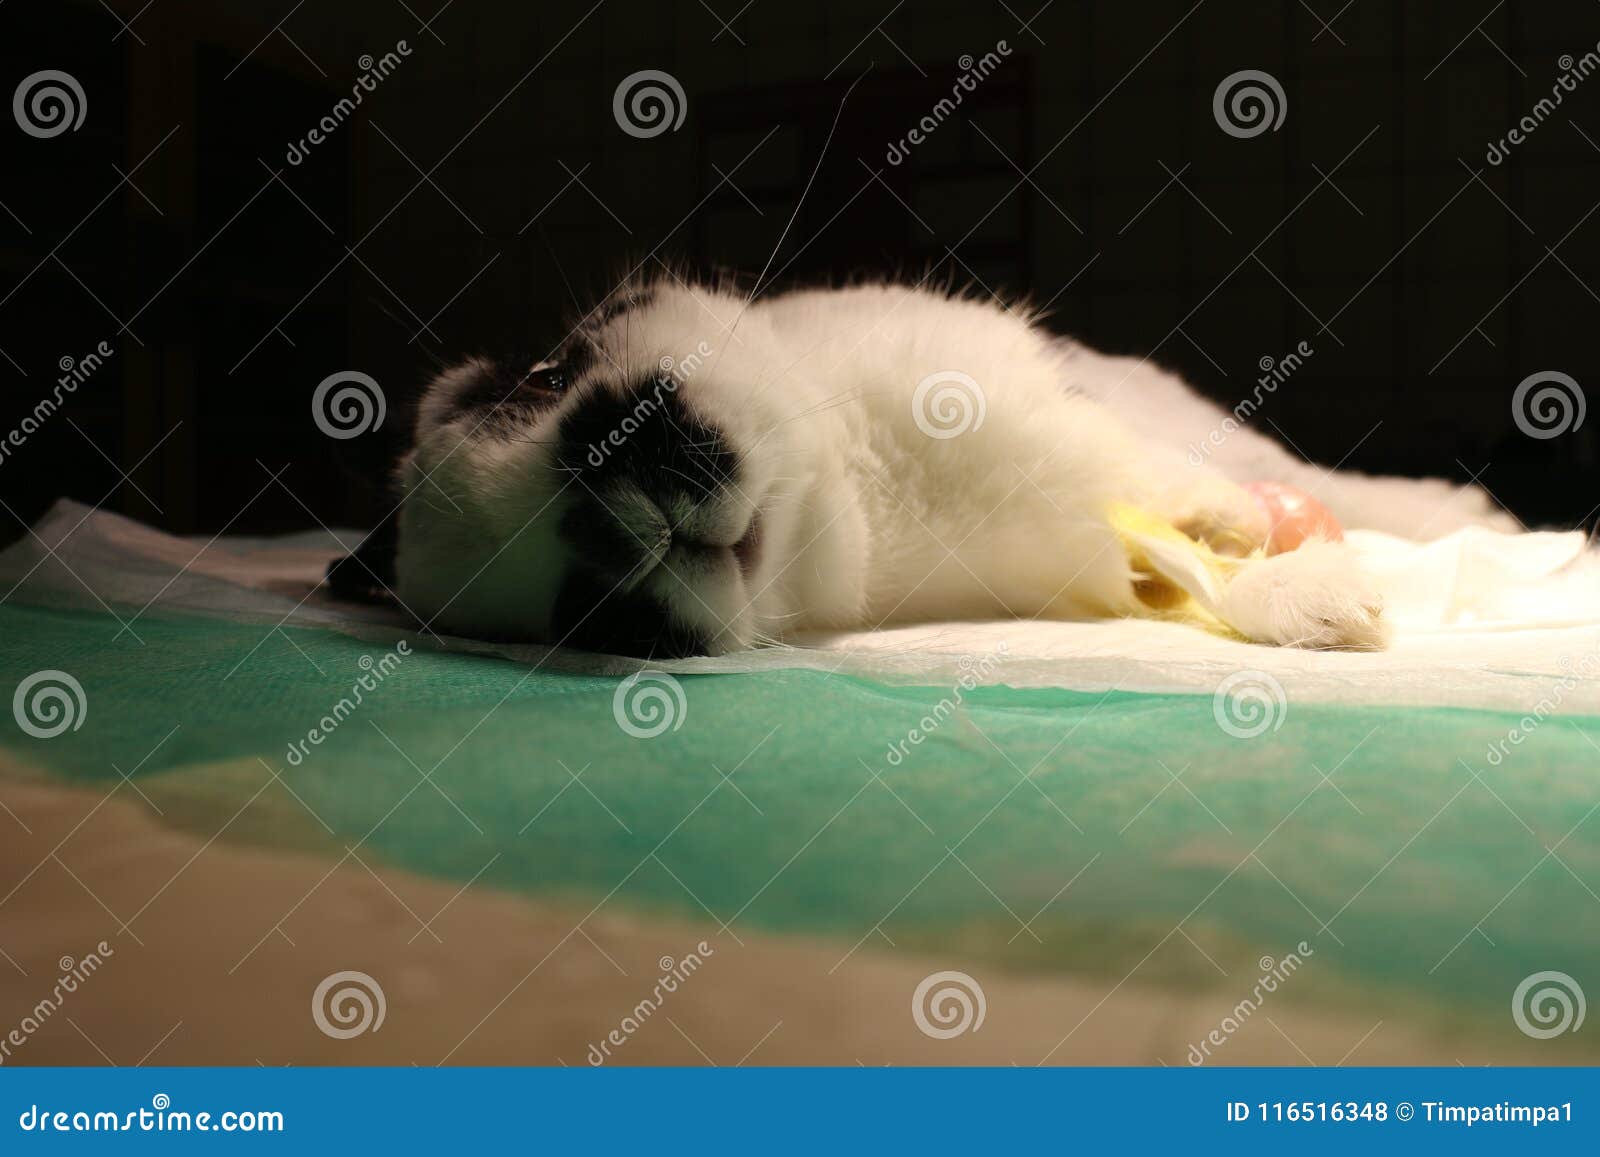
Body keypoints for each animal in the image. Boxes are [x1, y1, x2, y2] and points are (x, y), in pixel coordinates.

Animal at [348, 277, 1517, 658]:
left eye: (551, 373)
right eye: (578, 612)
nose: (620, 517)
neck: (865, 504)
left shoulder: (1090, 432)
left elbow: (1186, 500)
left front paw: (1302, 571)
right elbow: (1175, 571)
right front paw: (1329, 602)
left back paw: (1473, 514)